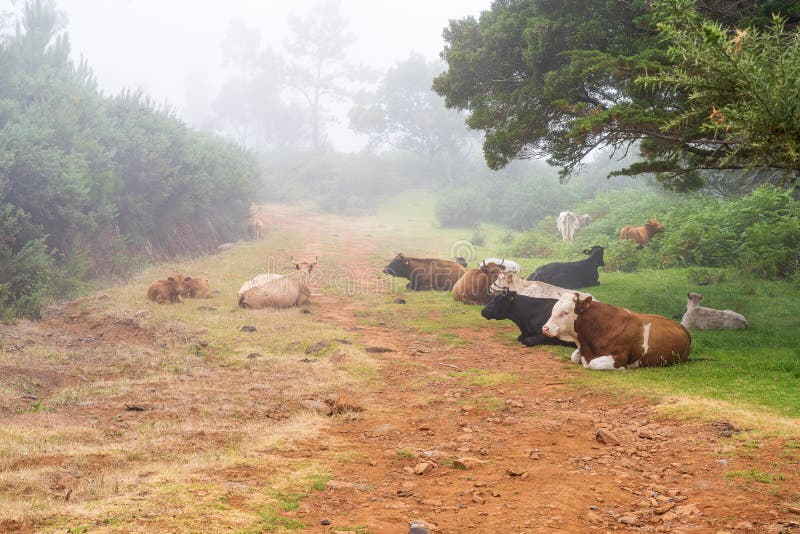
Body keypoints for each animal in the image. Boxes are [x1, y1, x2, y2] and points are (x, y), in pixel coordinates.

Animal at [542, 293, 691, 370]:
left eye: (565, 312)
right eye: (553, 309)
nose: (545, 328)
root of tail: (682, 328)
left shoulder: (619, 358)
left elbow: (594, 364)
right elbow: (574, 357)